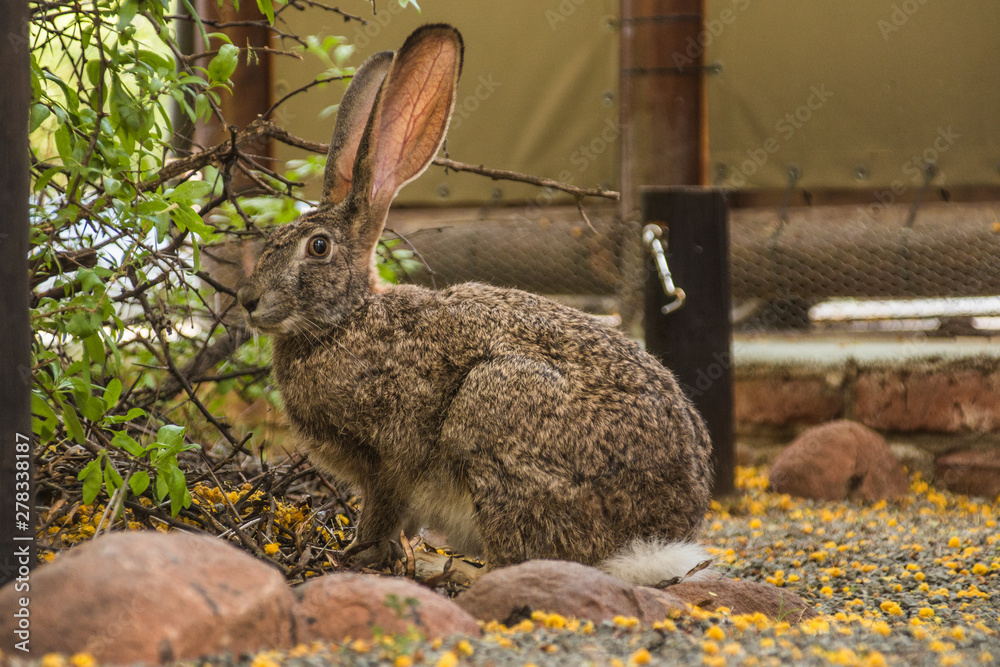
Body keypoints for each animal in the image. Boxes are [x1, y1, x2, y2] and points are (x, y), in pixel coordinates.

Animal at [237, 24, 714, 585]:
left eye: (317, 248)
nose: (247, 301)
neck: (348, 319)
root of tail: (648, 541)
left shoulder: (388, 457)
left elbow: (383, 509)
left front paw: (360, 554)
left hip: (492, 410)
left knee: (520, 558)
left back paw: (450, 571)